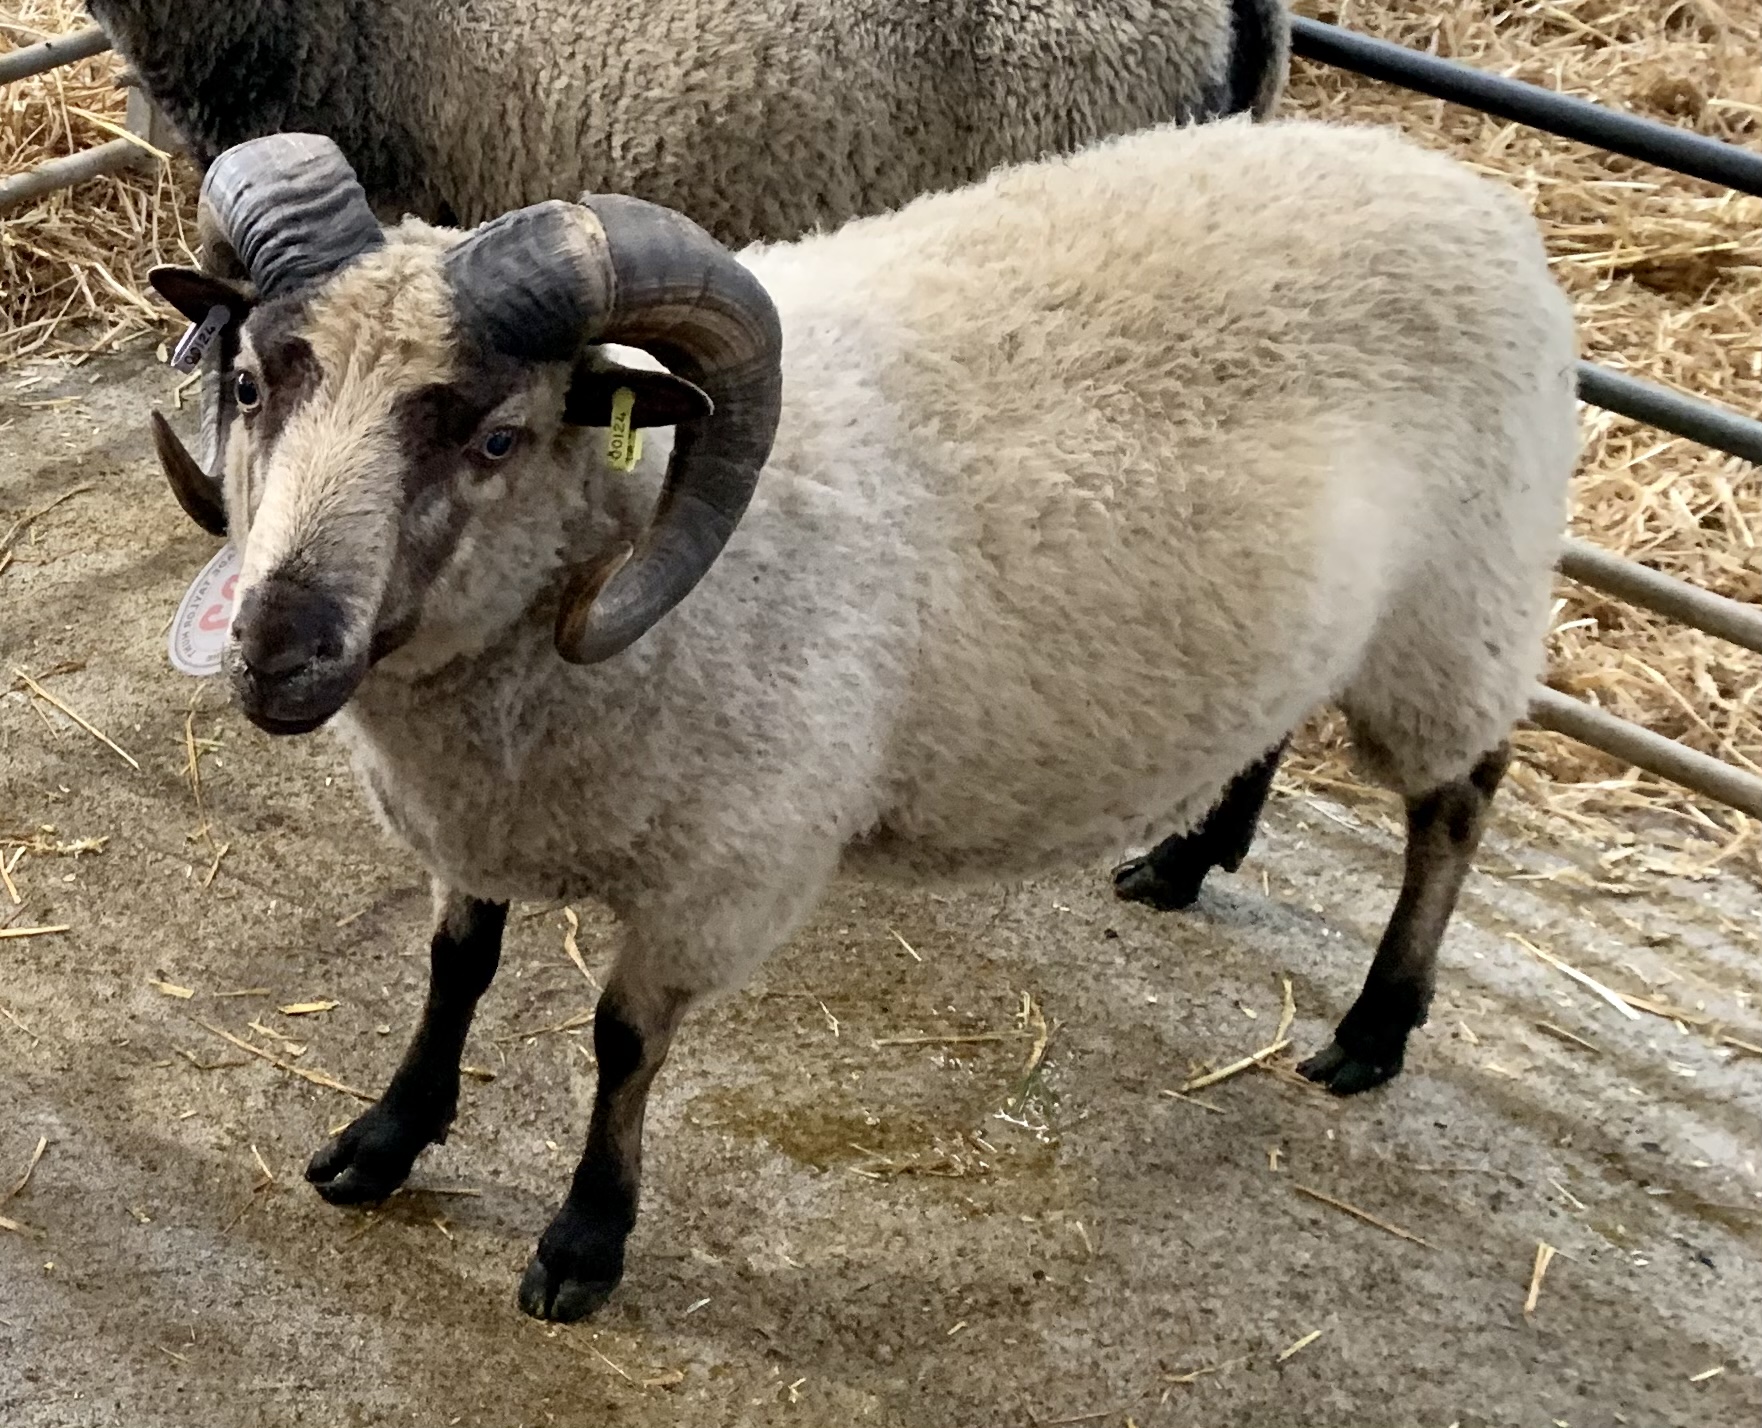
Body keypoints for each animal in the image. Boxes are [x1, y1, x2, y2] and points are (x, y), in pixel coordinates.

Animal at [143, 120, 1578, 1322]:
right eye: (255, 385)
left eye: (497, 438)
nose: (274, 650)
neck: (636, 539)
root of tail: (1462, 185)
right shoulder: (476, 821)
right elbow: (455, 974)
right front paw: (382, 1140)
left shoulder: (721, 875)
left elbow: (621, 1046)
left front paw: (584, 1243)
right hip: (1324, 619)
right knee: (1281, 718)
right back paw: (1187, 857)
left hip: (1456, 609)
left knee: (1457, 800)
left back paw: (1374, 1028)